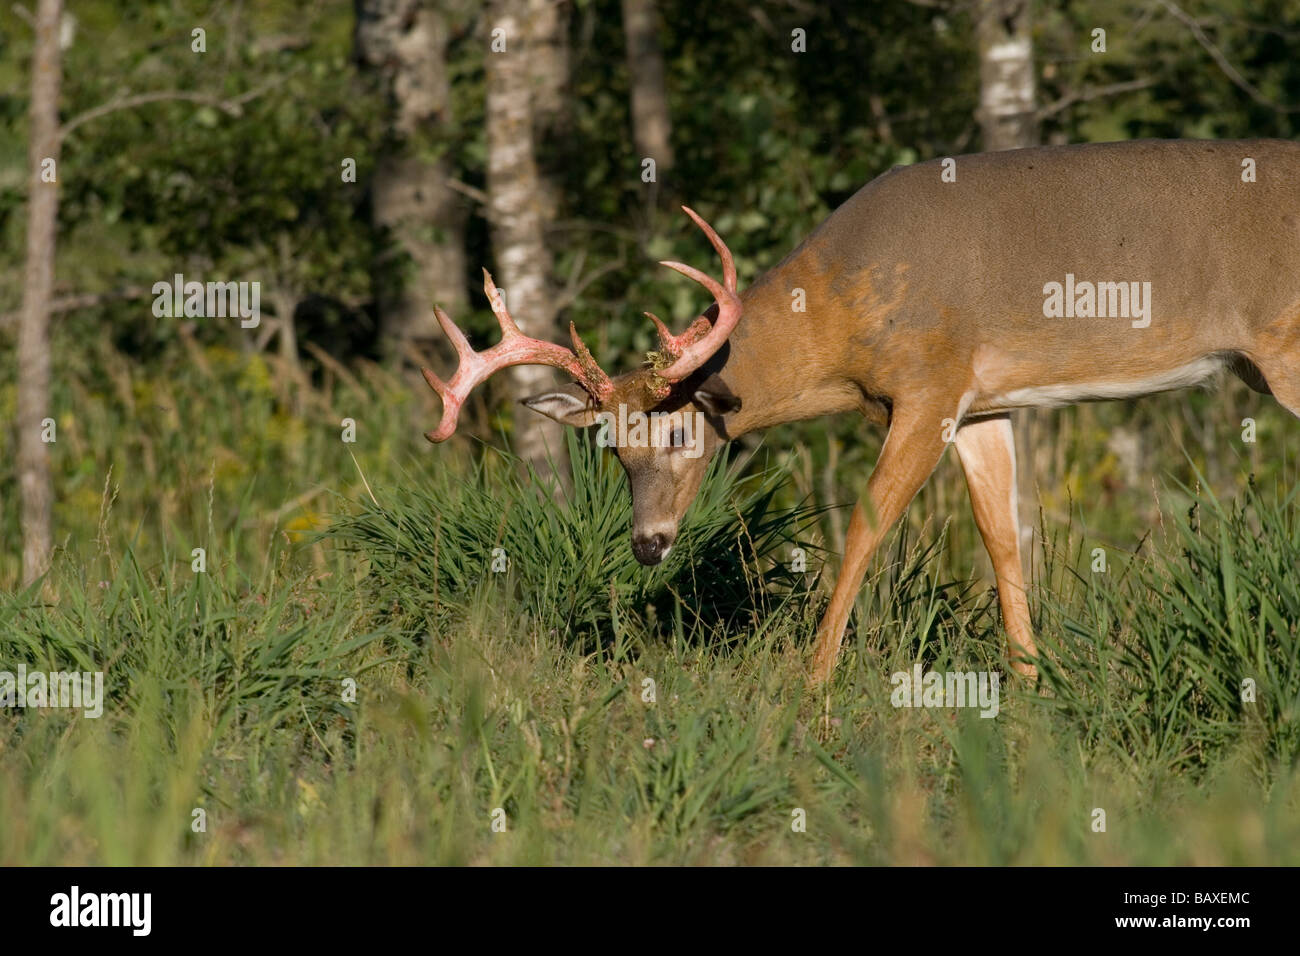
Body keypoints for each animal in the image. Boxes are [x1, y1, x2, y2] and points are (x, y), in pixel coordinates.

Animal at [421, 138, 1300, 685]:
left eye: (676, 429)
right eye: (610, 447)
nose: (647, 544)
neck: (840, 310)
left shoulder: (929, 383)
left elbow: (864, 527)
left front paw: (813, 684)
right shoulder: (980, 405)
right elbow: (1001, 537)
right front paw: (1030, 685)